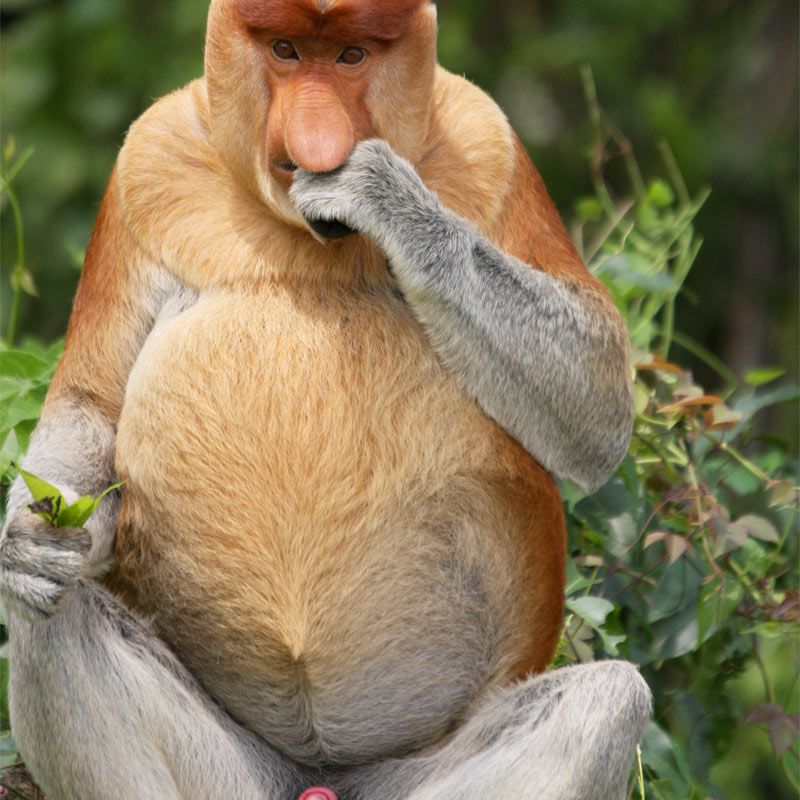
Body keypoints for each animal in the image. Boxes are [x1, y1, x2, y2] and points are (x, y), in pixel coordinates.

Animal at [0, 1, 651, 798]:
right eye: (285, 50)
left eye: (349, 56)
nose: (318, 140)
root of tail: (321, 774)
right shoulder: (144, 165)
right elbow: (89, 403)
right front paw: (31, 546)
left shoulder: (490, 145)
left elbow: (597, 400)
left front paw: (382, 197)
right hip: (236, 772)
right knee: (48, 623)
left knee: (606, 700)